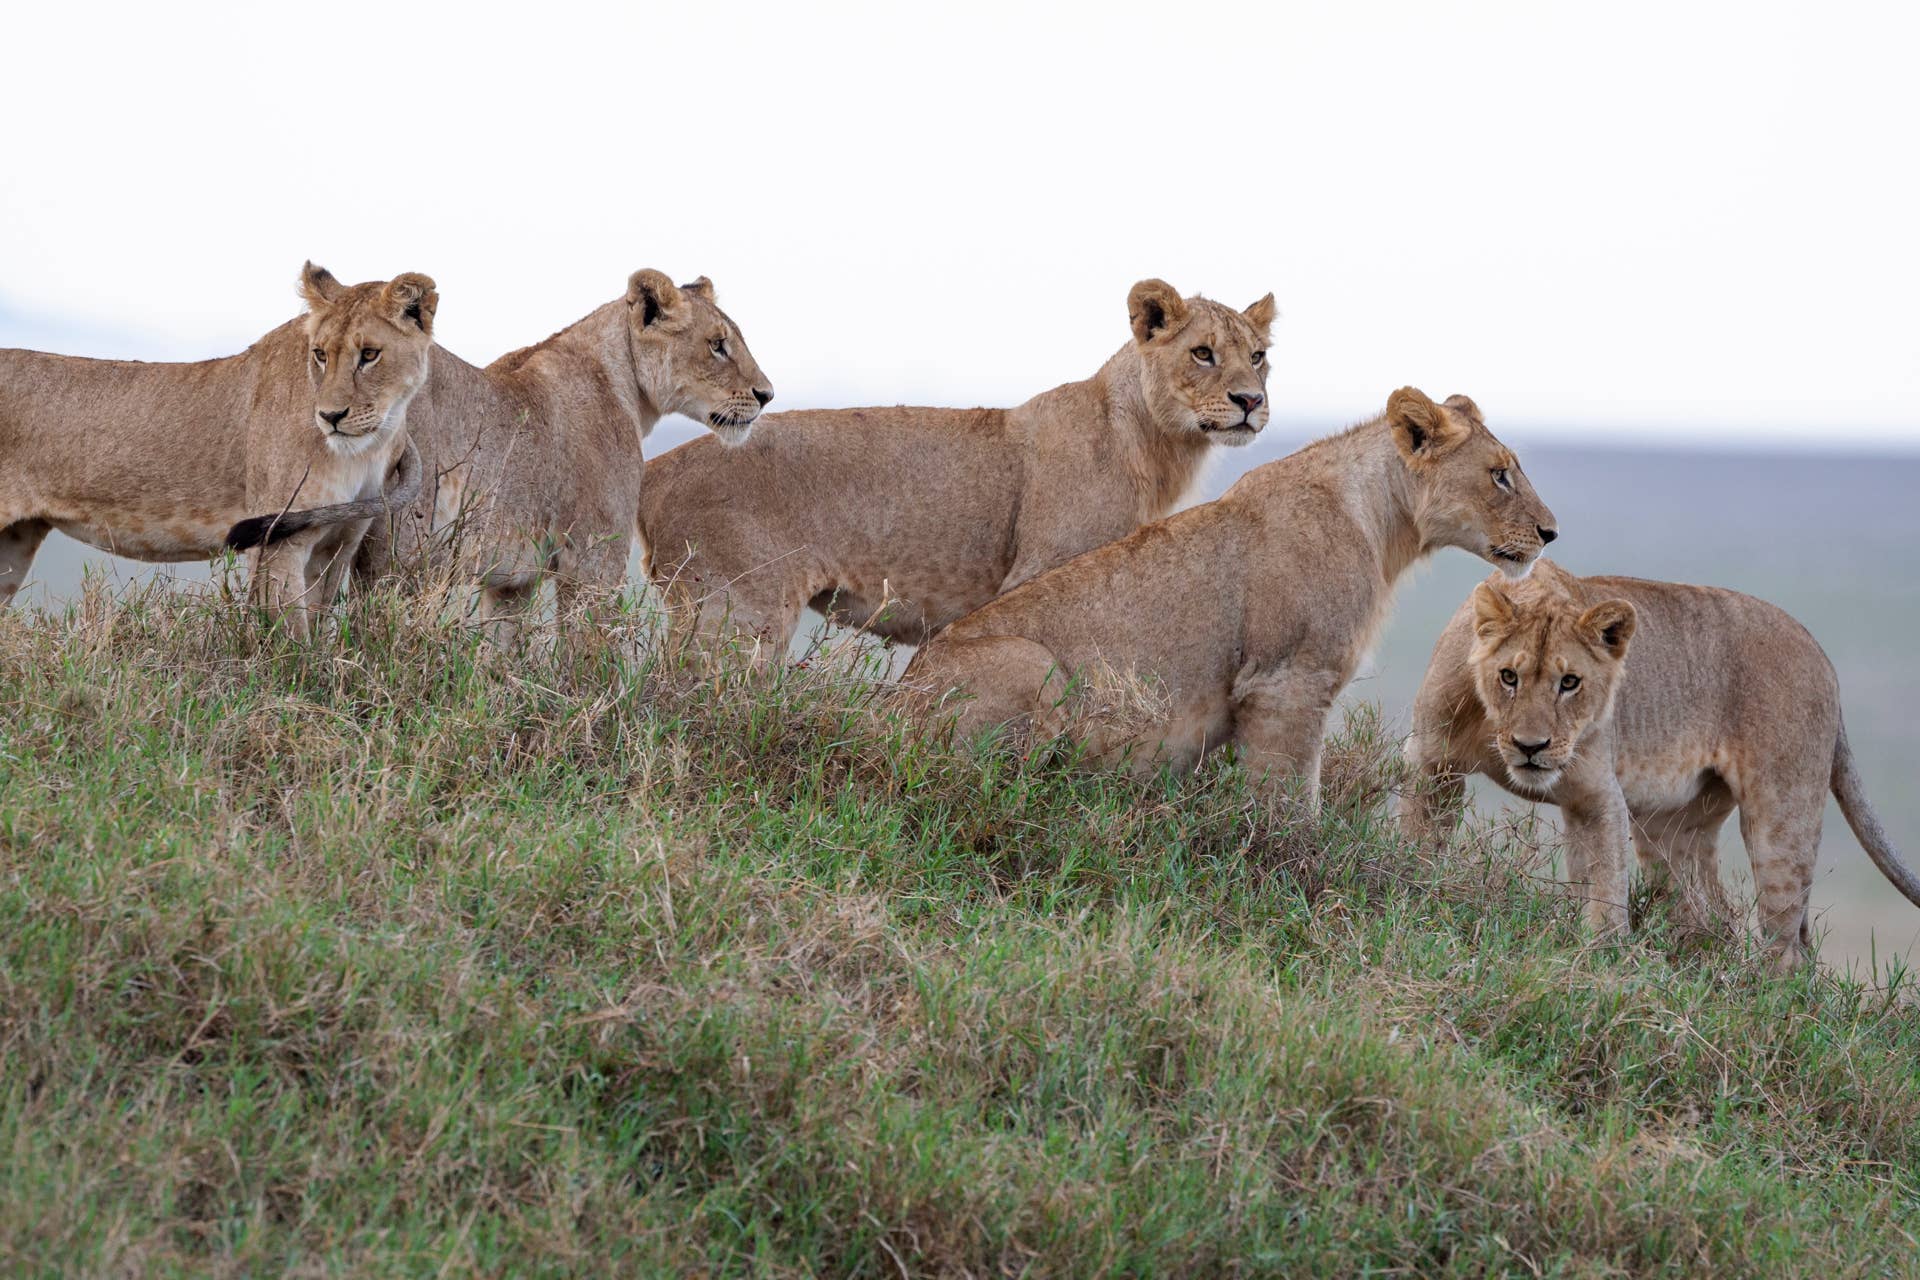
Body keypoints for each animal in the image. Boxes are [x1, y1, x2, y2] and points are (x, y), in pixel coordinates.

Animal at [0, 262, 430, 635]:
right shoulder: (277, 541)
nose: (331, 416)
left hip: (14, 542)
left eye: (370, 354)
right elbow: (291, 640)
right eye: (321, 354)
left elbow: (316, 625)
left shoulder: (339, 542)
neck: (369, 448)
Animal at [231, 270, 773, 642]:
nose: (766, 395)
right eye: (717, 345)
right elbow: (591, 655)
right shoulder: (592, 559)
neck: (624, 383)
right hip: (396, 545)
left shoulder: (512, 581)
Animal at [637, 278, 1276, 654]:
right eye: (1202, 353)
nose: (1251, 401)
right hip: (739, 612)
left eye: (1258, 356)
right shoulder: (1036, 578)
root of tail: (657, 466)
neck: (1159, 448)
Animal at [905, 388, 1558, 806]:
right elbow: (1288, 798)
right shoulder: (1287, 680)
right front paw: (1293, 869)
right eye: (1500, 474)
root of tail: (889, 705)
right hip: (1031, 664)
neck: (1386, 527)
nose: (1551, 533)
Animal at [1399, 558, 1920, 970]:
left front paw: (1602, 960)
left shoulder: (1597, 795)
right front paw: (1413, 892)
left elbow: (1606, 889)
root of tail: (1821, 651)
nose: (1532, 746)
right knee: (1711, 915)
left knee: (1786, 945)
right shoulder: (1431, 761)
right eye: (1509, 676)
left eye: (1570, 682)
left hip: (1781, 821)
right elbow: (1420, 841)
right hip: (1670, 827)